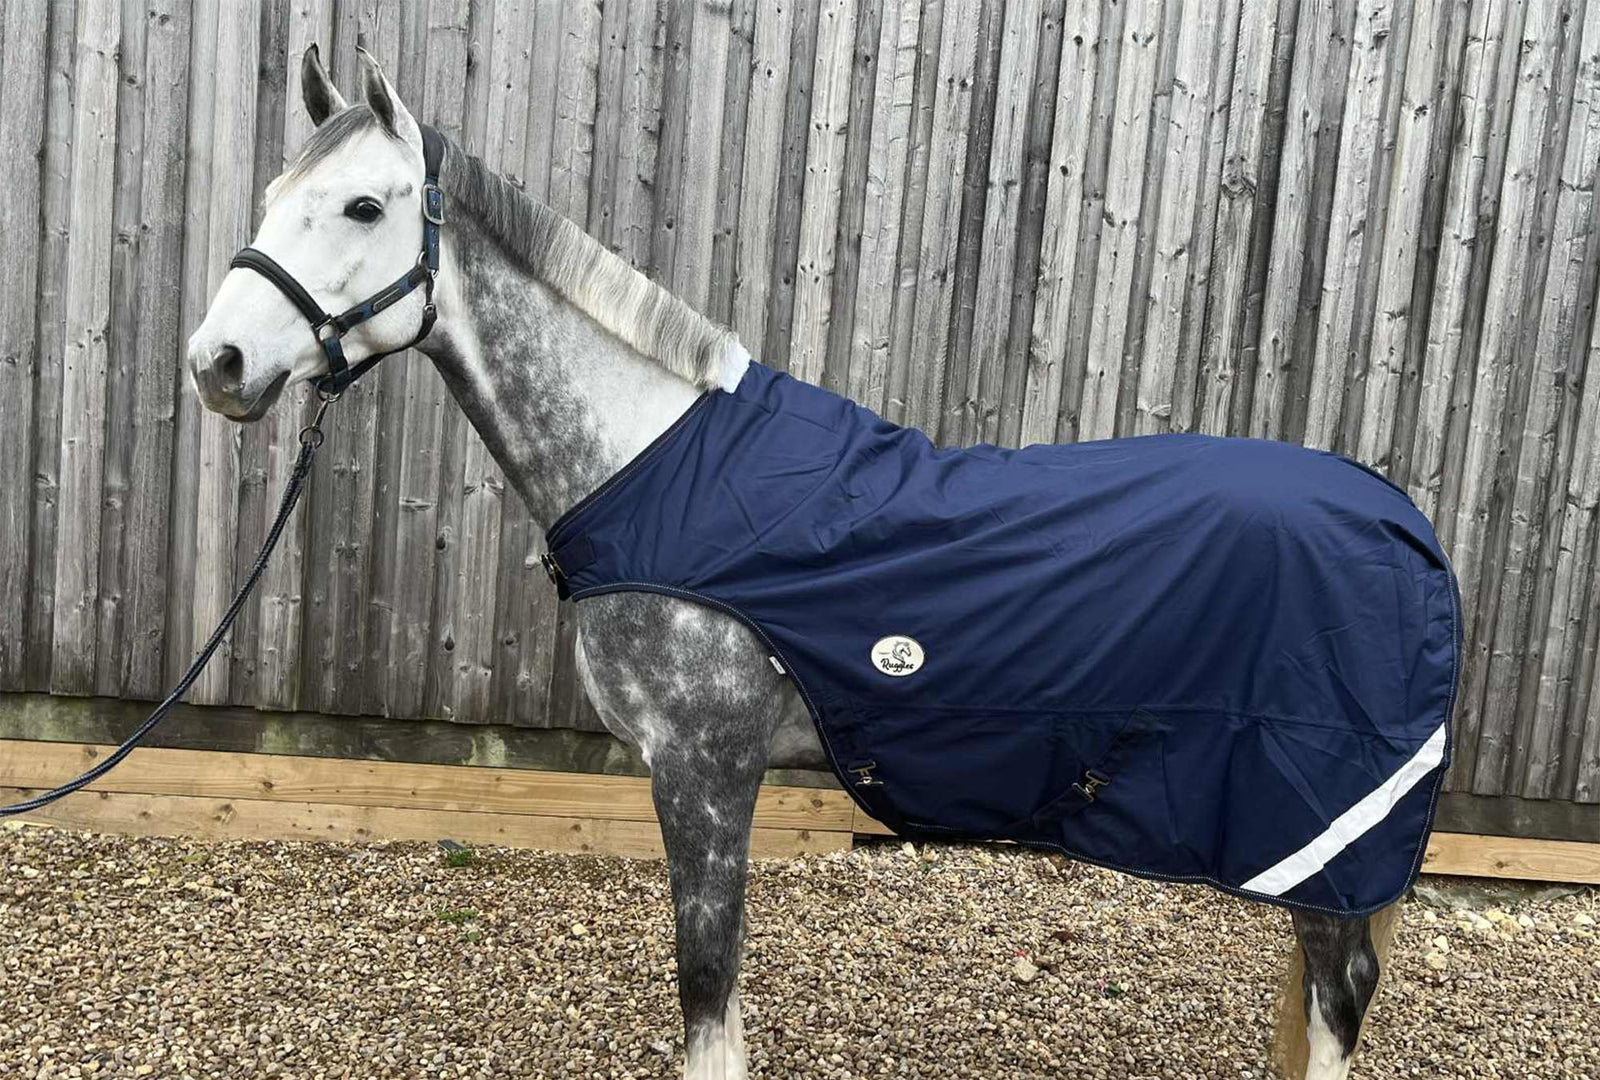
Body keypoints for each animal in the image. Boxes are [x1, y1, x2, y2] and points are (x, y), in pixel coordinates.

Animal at [187, 46, 1400, 1080]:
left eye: (364, 205)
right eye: (269, 198)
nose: (217, 363)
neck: (657, 467)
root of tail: (1397, 522)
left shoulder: (704, 771)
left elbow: (707, 1000)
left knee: (1340, 1000)